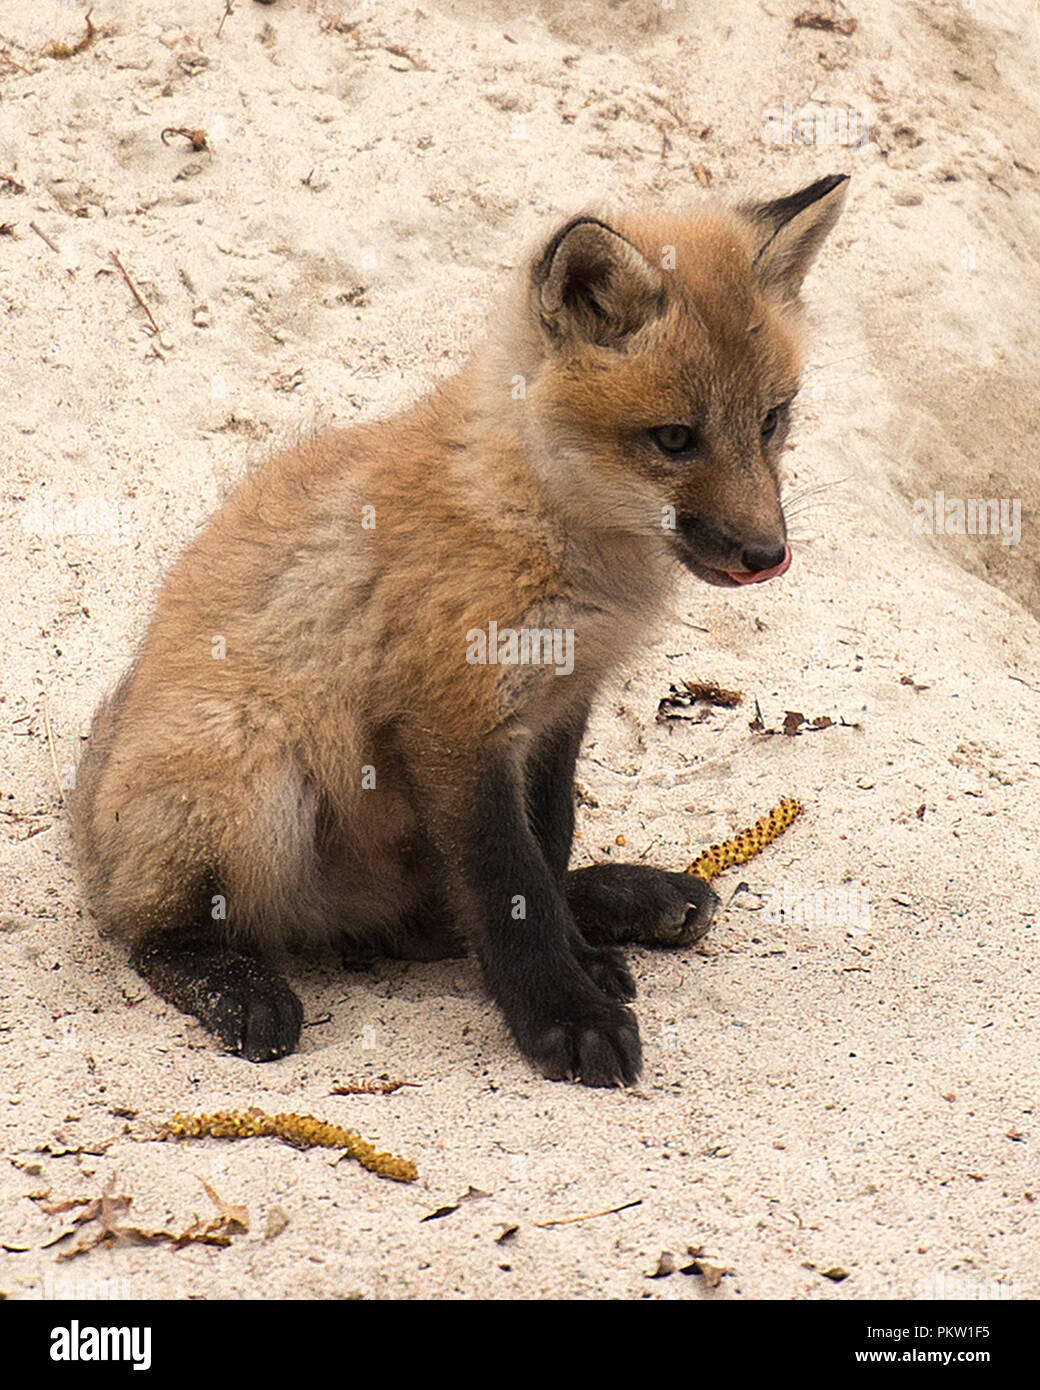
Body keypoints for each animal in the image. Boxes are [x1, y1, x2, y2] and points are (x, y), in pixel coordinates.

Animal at [69, 173, 848, 1087]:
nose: (768, 555)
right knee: (157, 934)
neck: (540, 524)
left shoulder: (558, 710)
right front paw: (566, 1012)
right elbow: (508, 887)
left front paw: (582, 960)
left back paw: (621, 900)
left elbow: (545, 848)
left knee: (435, 920)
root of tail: (90, 844)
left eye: (771, 420)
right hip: (254, 774)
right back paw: (238, 986)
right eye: (674, 438)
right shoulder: (453, 721)